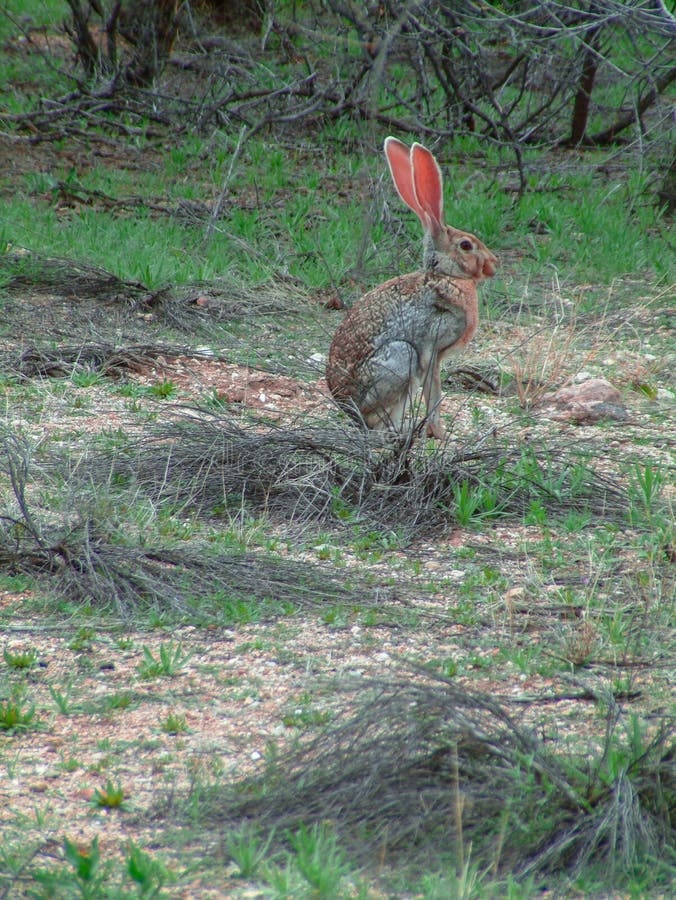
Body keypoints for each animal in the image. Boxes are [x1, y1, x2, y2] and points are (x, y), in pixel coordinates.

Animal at [326, 136, 497, 440]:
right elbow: (435, 394)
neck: (445, 274)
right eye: (466, 245)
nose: (493, 264)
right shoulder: (432, 350)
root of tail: (348, 408)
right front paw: (439, 433)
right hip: (400, 358)